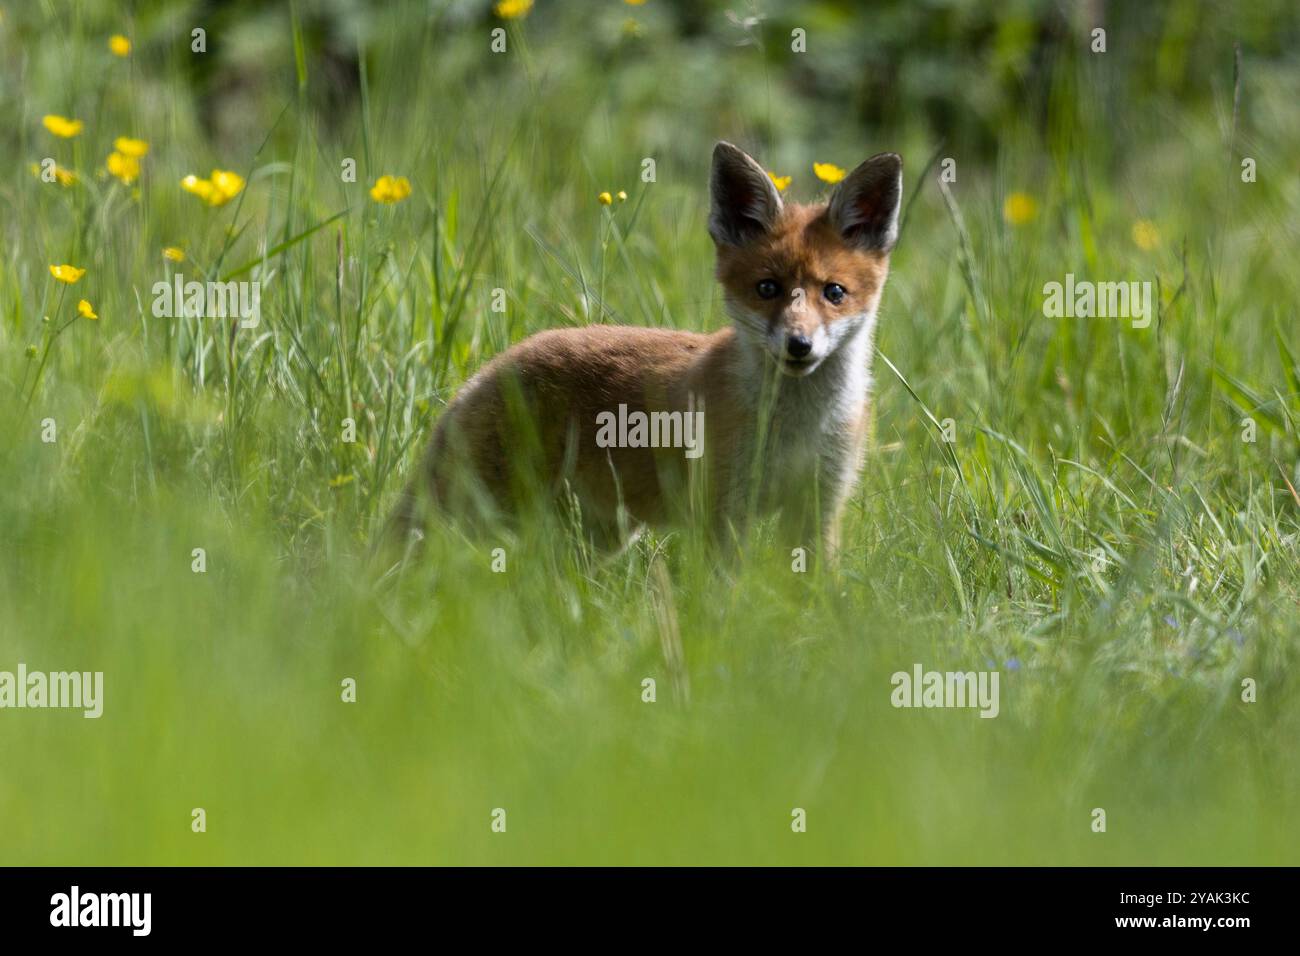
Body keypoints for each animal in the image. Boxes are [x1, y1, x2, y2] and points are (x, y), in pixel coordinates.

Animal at [389, 141, 902, 559]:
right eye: (767, 288)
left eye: (834, 293)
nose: (799, 345)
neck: (796, 427)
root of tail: (494, 366)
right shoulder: (722, 510)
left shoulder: (818, 509)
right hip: (473, 510)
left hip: (599, 534)